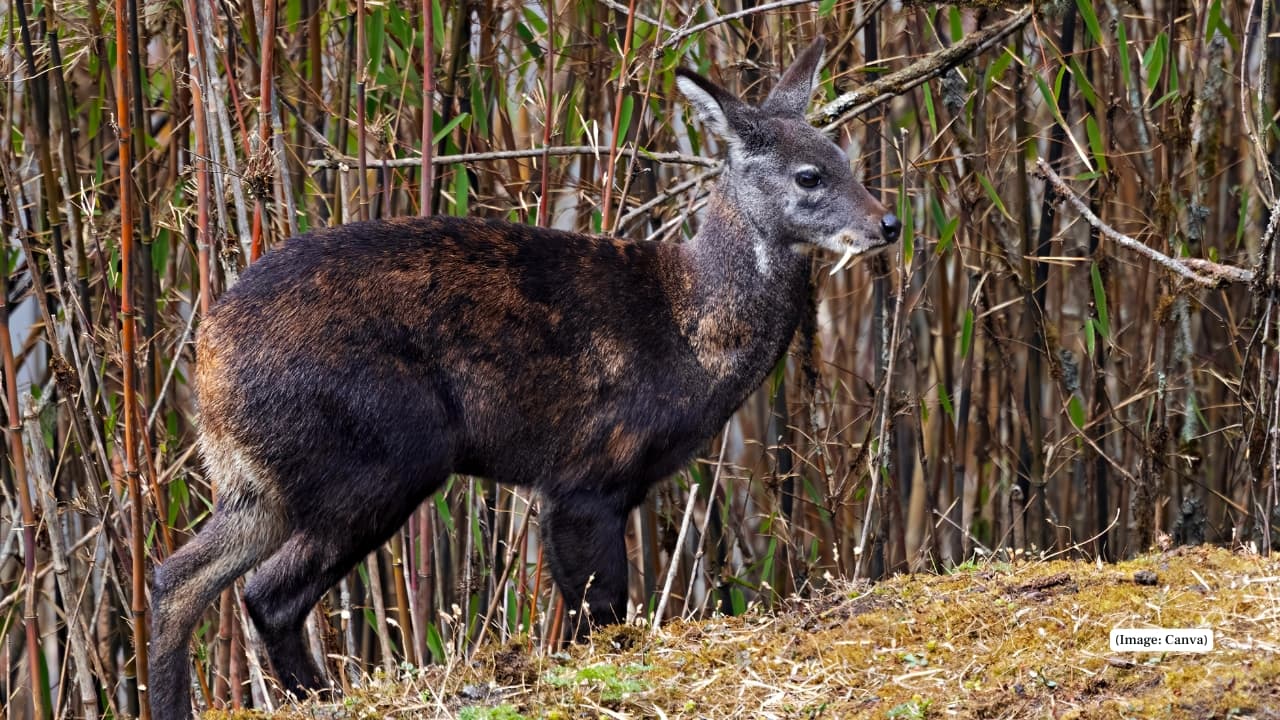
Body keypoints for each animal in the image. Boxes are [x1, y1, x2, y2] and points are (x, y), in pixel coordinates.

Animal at [148, 36, 900, 719]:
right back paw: (325, 697)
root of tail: (208, 361)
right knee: (265, 593)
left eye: (847, 158)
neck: (689, 331)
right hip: (383, 451)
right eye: (809, 176)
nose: (889, 223)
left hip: (261, 482)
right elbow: (602, 610)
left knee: (176, 578)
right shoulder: (585, 473)